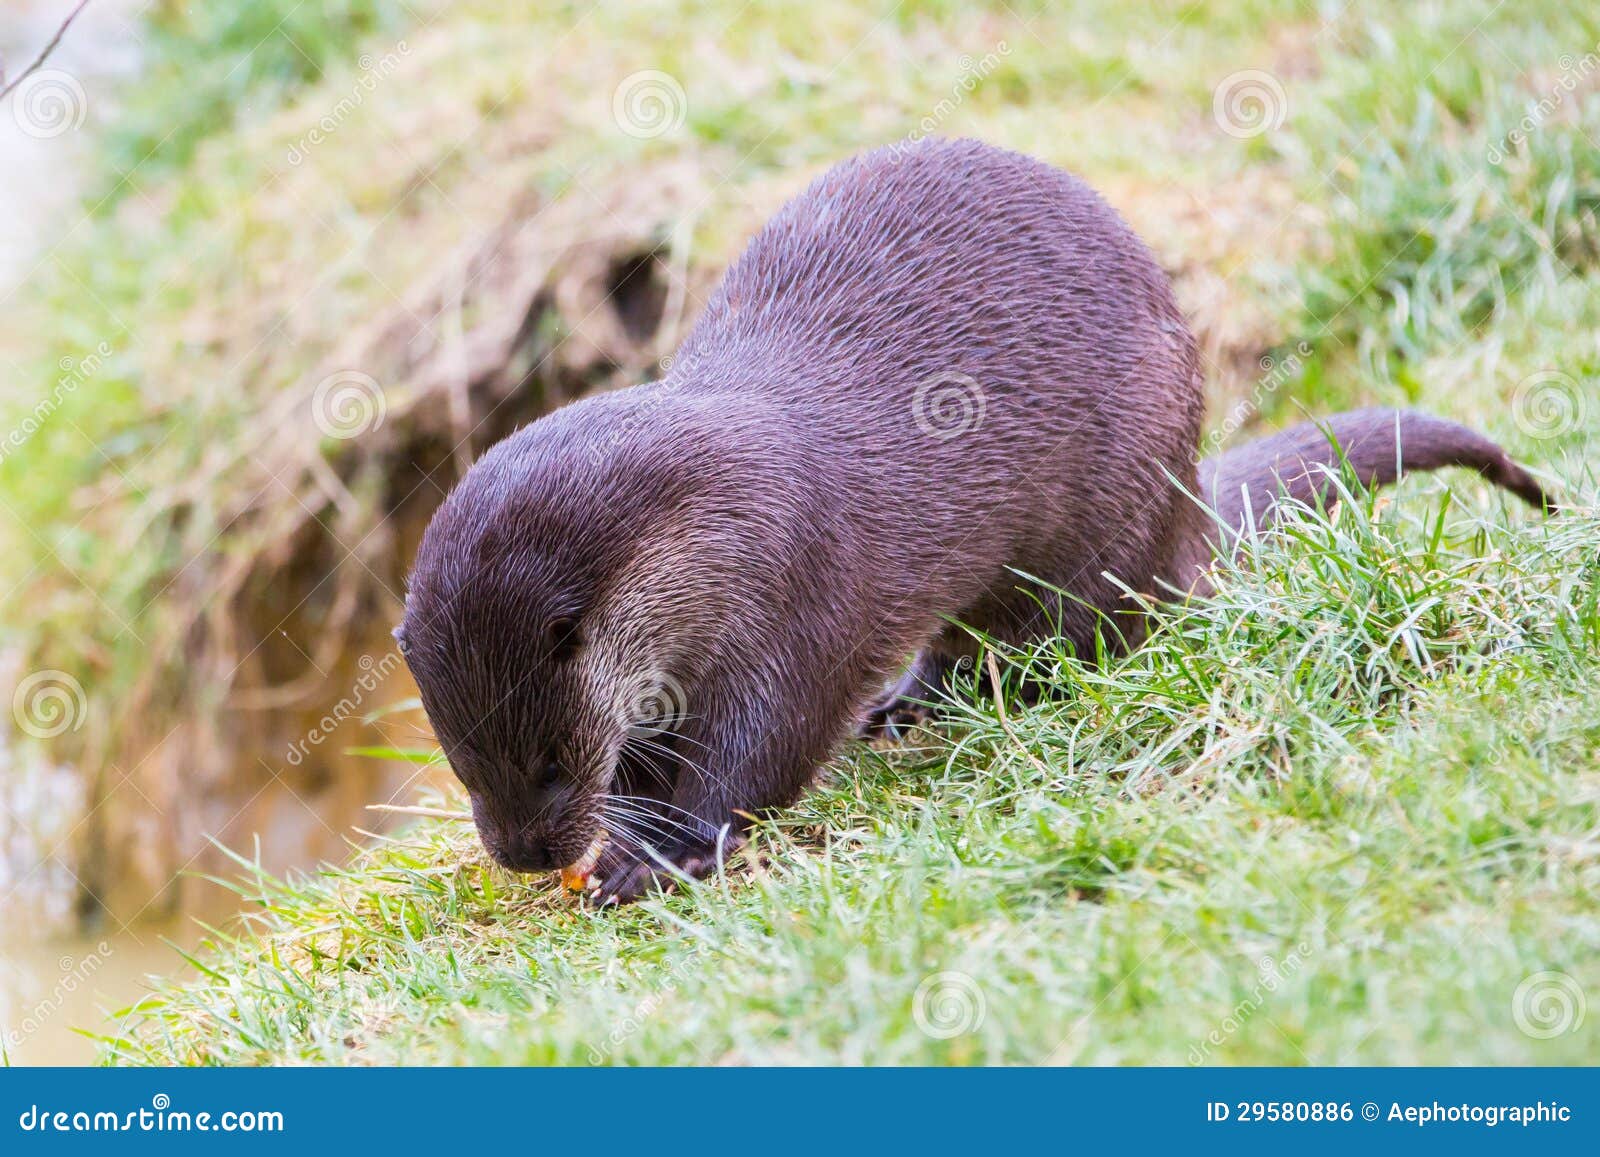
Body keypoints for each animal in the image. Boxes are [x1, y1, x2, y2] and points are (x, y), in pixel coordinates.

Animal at [396, 139, 1550, 904]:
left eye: (550, 762)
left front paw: (658, 853)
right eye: (461, 762)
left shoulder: (795, 593)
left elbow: (764, 751)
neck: (716, 514)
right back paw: (910, 704)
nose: (526, 852)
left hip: (1111, 531)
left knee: (1108, 627)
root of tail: (1188, 500)